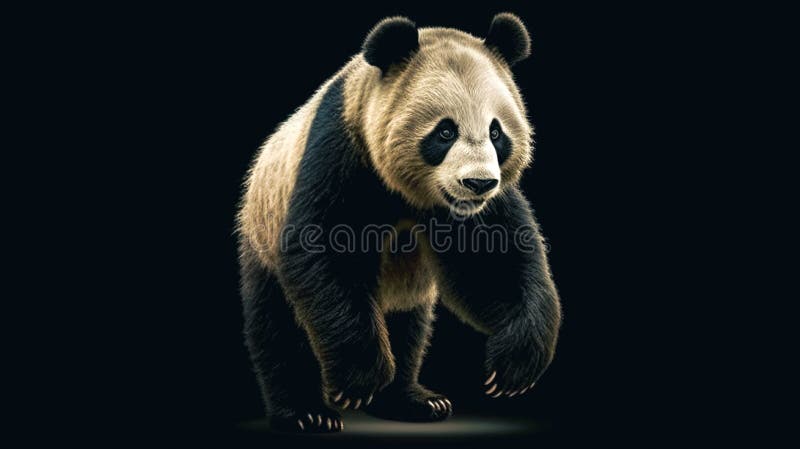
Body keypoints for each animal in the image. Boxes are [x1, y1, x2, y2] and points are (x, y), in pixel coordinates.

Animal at [237, 13, 561, 433]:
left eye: (496, 132)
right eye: (445, 131)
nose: (478, 184)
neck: (412, 194)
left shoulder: (480, 208)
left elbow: (493, 262)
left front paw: (512, 368)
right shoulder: (343, 149)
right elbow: (324, 248)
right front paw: (358, 380)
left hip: (407, 282)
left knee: (409, 324)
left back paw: (414, 401)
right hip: (263, 229)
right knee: (277, 325)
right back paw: (307, 414)